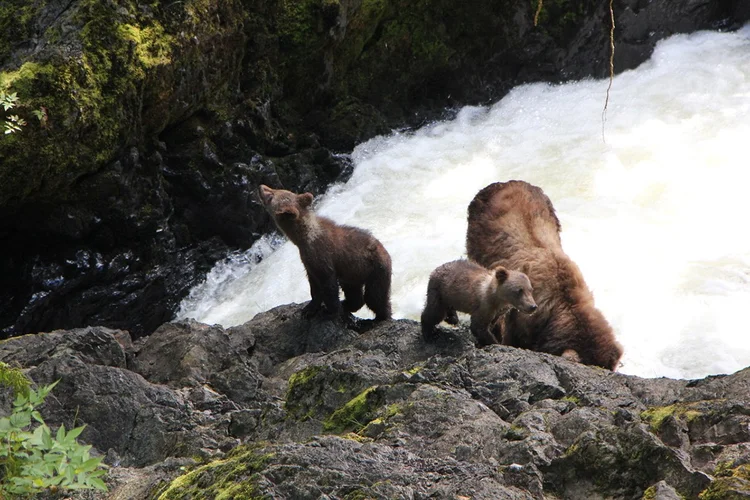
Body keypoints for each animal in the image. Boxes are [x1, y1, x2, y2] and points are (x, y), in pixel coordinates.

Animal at [258, 184, 392, 320]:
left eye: (271, 195)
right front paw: (309, 309)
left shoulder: (320, 254)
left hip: (376, 270)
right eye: (277, 189)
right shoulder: (308, 262)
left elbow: (328, 282)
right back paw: (347, 304)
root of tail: (386, 252)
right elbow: (314, 285)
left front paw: (330, 310)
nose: (261, 186)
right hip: (353, 272)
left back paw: (382, 316)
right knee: (354, 293)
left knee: (374, 297)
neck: (302, 238)